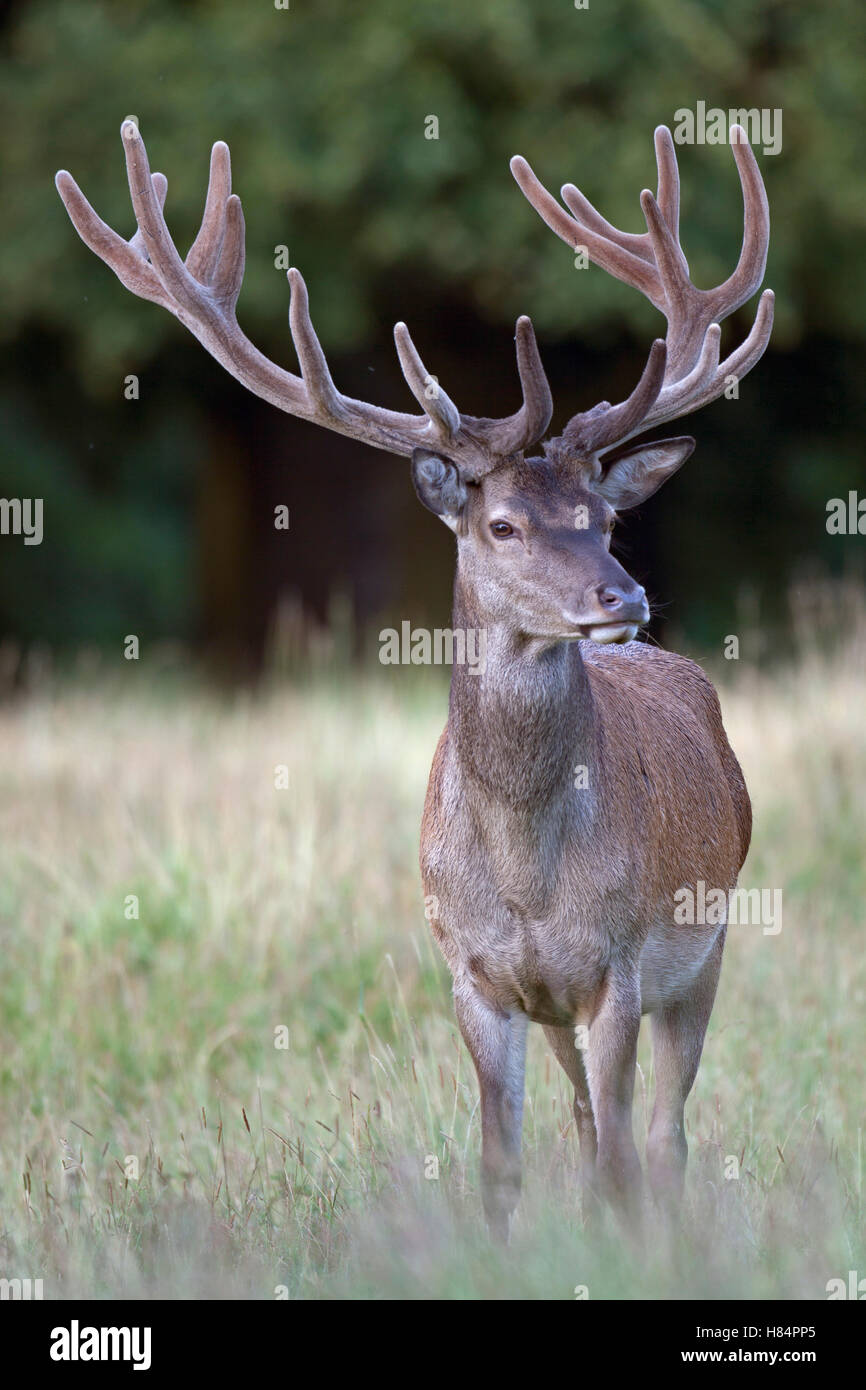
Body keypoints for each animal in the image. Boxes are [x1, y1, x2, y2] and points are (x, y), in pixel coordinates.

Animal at [56, 119, 772, 1240]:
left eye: (606, 517)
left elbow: (622, 1158)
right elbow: (502, 1161)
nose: (623, 594)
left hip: (708, 946)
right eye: (502, 525)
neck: (527, 880)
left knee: (659, 1139)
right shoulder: (473, 973)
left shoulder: (617, 966)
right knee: (587, 1122)